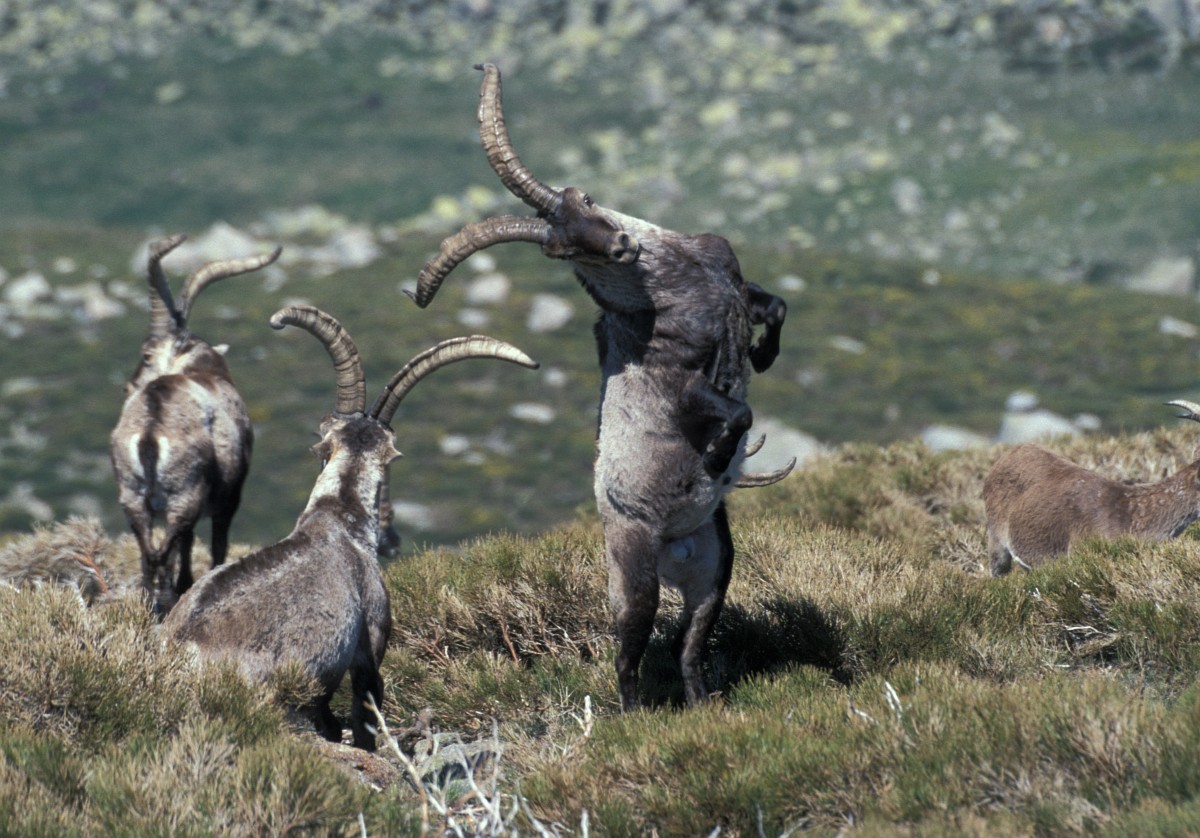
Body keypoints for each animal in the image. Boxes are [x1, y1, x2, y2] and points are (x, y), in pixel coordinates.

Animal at [110, 234, 280, 614]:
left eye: (145, 354)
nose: (129, 386)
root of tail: (150, 431)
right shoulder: (228, 498)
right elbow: (216, 547)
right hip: (182, 497)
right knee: (164, 554)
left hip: (133, 496)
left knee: (150, 554)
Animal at [408, 63, 793, 710]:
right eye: (559, 246)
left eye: (585, 199)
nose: (621, 245)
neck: (675, 283)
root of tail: (672, 550)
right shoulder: (678, 382)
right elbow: (734, 411)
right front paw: (717, 455)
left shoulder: (735, 289)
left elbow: (777, 308)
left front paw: (763, 353)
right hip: (632, 573)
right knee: (628, 653)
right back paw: (634, 715)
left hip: (716, 567)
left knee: (688, 645)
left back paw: (703, 705)